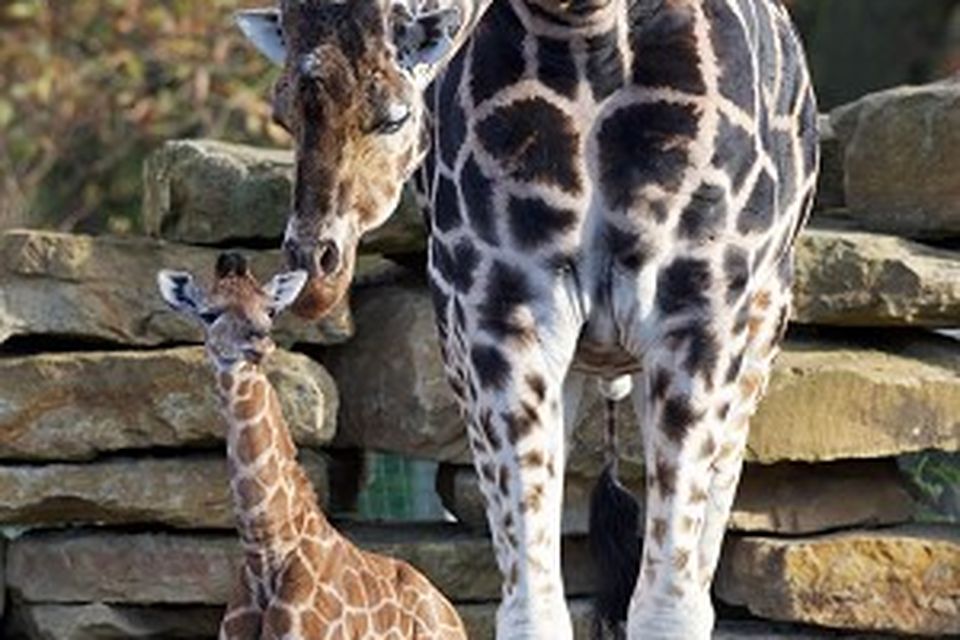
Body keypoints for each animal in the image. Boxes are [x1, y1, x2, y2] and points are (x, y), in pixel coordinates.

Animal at [236, 0, 818, 638]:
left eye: (394, 117)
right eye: (282, 115)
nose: (316, 270)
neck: (586, 33)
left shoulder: (697, 318)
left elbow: (669, 606)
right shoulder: (498, 318)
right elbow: (533, 607)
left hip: (757, 331)